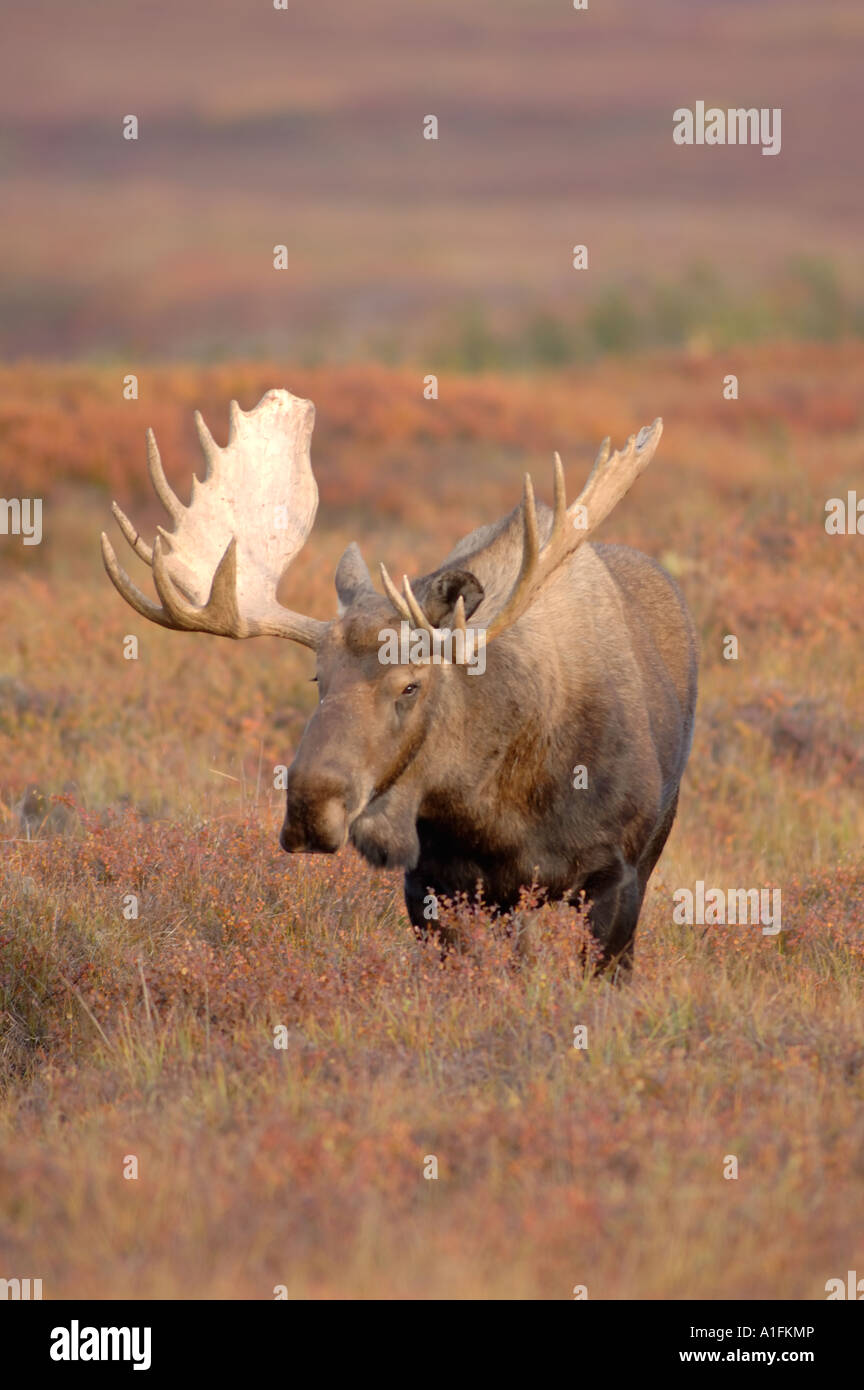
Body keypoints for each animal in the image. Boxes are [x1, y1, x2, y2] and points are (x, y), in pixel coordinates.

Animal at [102, 388, 698, 970]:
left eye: (411, 685)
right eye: (318, 678)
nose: (309, 809)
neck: (493, 812)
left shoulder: (617, 878)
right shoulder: (433, 886)